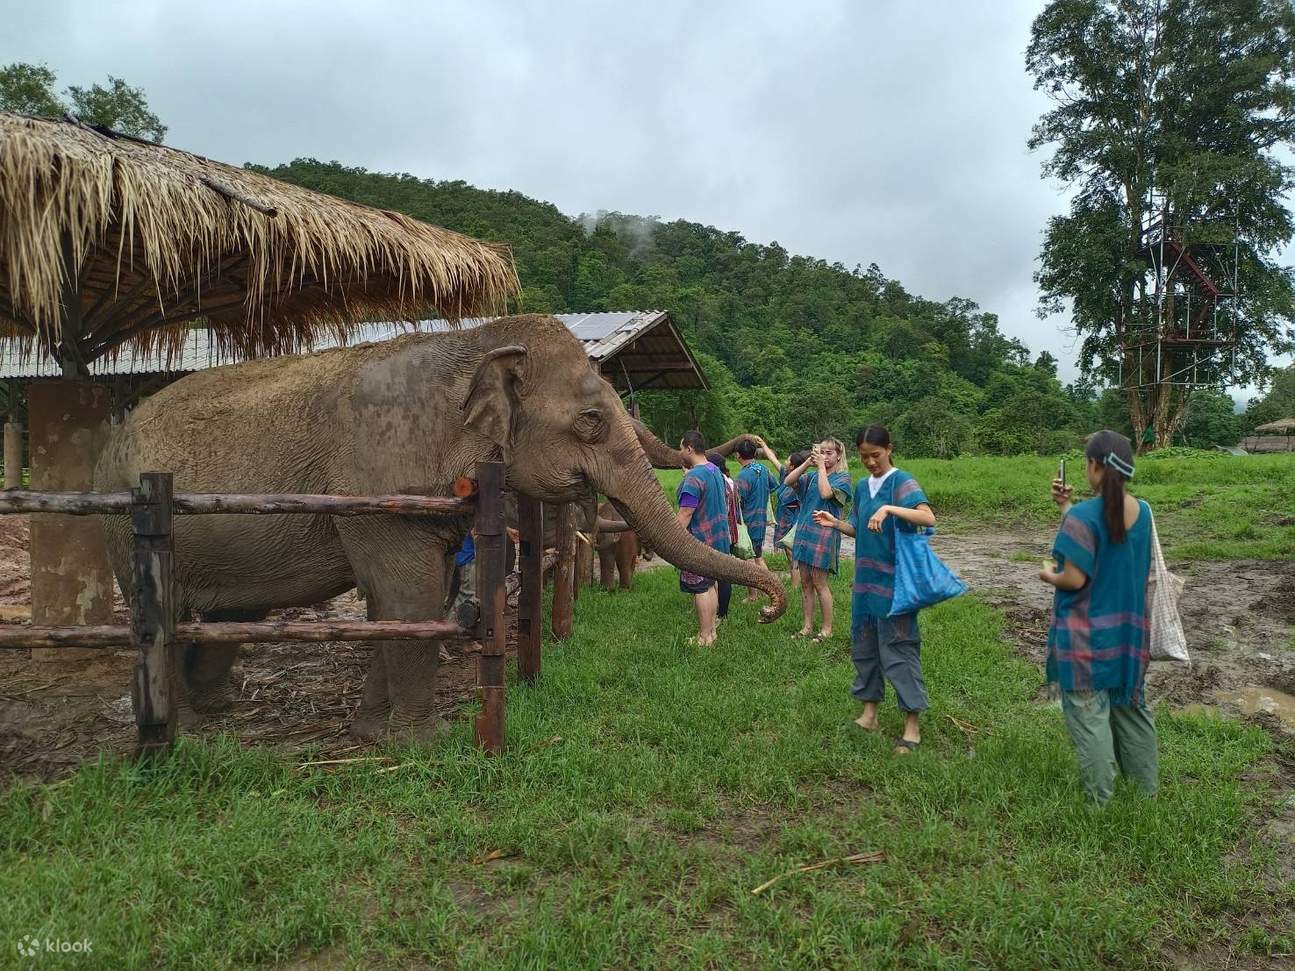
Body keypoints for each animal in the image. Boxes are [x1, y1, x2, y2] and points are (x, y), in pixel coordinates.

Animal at [93, 314, 788, 744]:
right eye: (591, 420)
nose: (769, 607)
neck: (478, 340)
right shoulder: (378, 482)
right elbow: (411, 598)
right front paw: (425, 742)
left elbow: (390, 606)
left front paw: (370, 733)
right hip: (123, 524)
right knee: (157, 612)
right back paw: (175, 728)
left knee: (230, 615)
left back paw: (217, 706)